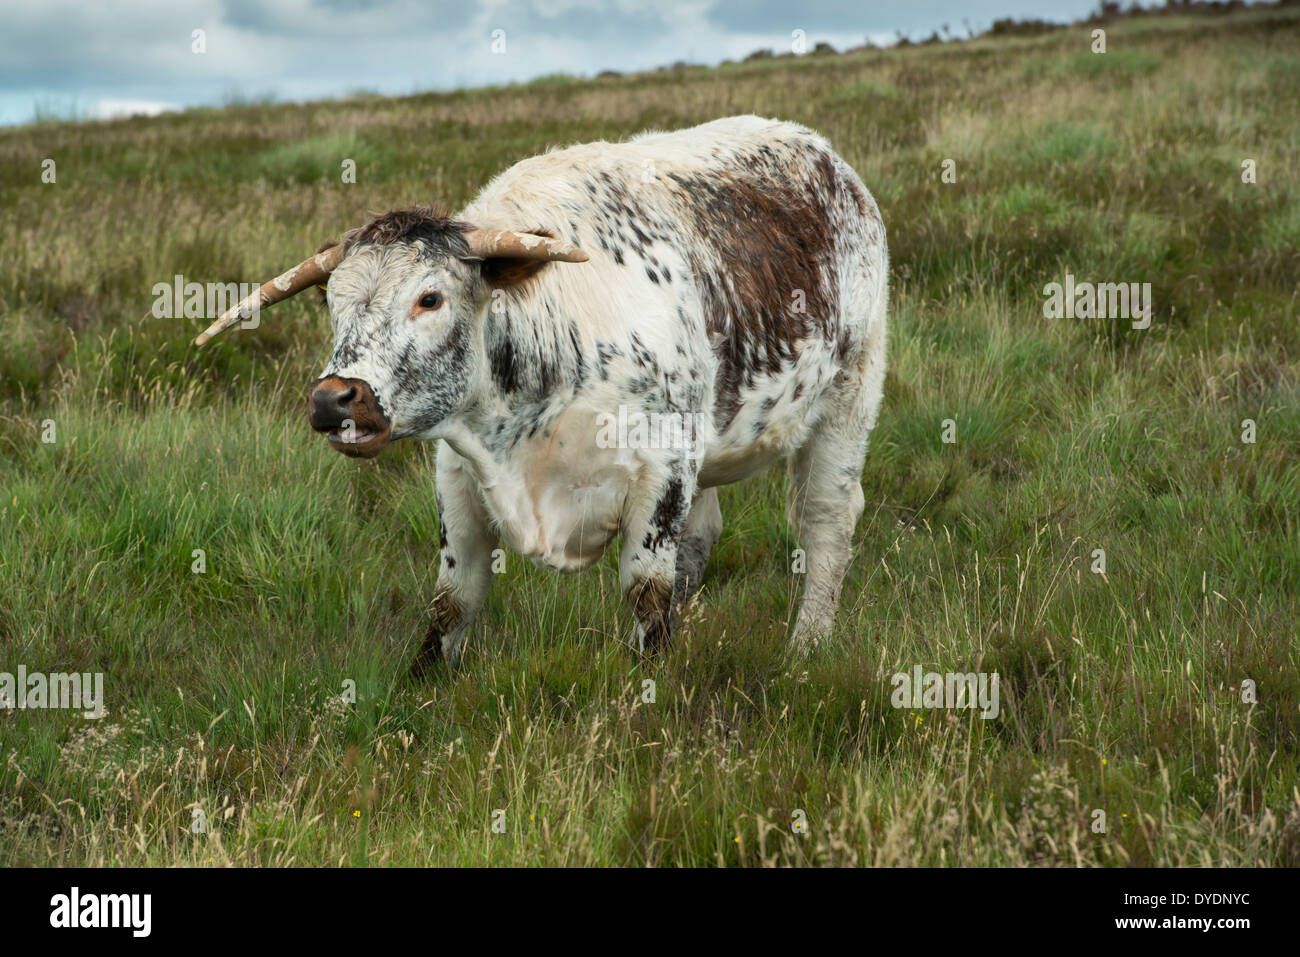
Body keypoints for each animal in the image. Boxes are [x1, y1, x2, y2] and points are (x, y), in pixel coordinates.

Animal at [196, 115, 888, 674]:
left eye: (430, 297)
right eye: (332, 305)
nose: (333, 400)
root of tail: (825, 156)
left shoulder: (663, 469)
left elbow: (646, 589)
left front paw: (651, 682)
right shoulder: (457, 473)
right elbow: (453, 600)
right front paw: (421, 687)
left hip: (849, 399)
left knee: (826, 523)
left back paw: (807, 646)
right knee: (704, 537)